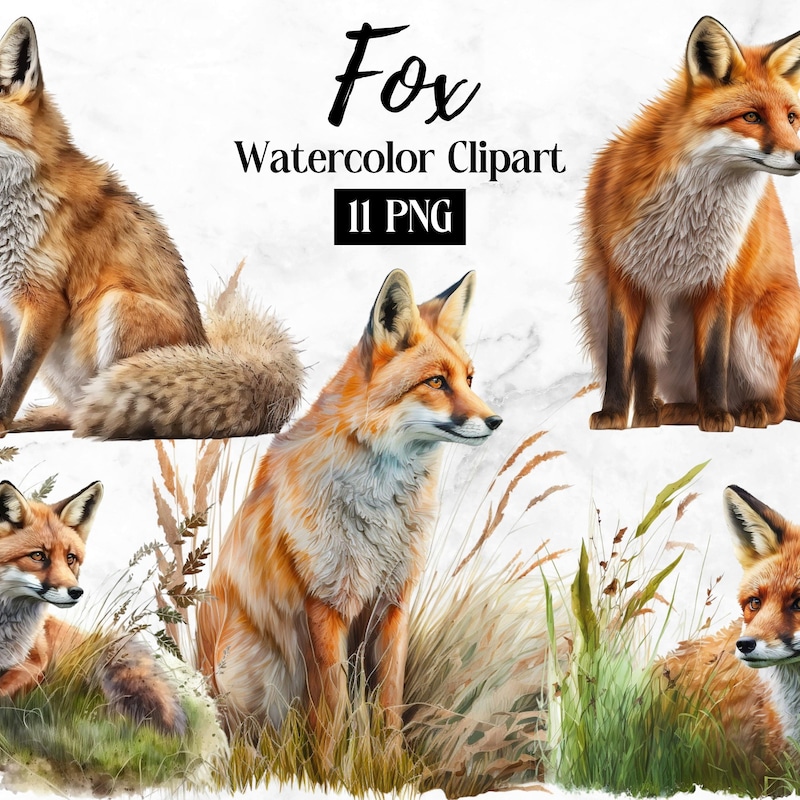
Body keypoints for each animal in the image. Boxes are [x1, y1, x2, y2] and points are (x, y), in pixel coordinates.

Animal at [0, 17, 301, 440]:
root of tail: (204, 346)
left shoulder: (43, 299)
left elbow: (11, 385)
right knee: (76, 412)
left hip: (118, 305)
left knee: (110, 411)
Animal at [197, 269, 502, 755]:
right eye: (437, 382)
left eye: (470, 379)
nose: (495, 421)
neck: (380, 511)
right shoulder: (325, 604)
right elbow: (331, 711)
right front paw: (328, 767)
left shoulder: (393, 604)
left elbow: (390, 704)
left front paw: (392, 763)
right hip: (250, 668)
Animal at [575, 17, 800, 432]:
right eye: (752, 117)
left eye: (792, 117)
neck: (685, 219)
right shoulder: (626, 275)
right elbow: (622, 358)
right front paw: (615, 414)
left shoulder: (720, 277)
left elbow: (712, 360)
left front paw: (717, 417)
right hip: (598, 294)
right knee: (652, 365)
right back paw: (662, 412)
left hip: (753, 331)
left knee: (775, 405)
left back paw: (745, 411)